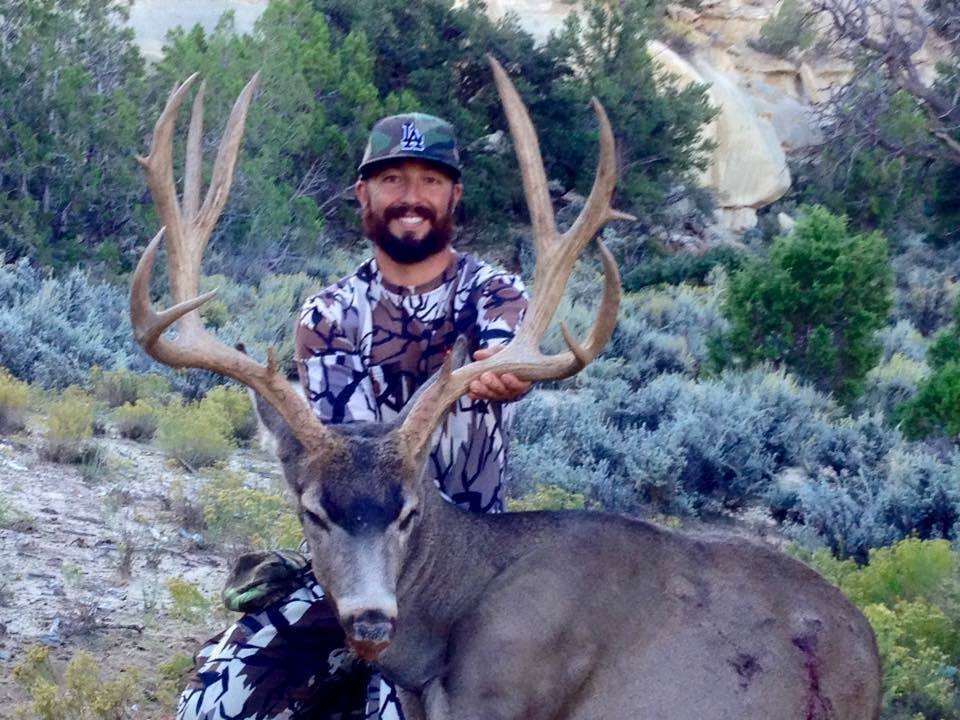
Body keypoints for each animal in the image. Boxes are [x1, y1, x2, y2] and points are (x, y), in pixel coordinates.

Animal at [131, 57, 882, 720]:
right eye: (313, 511)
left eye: (409, 511)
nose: (371, 619)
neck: (438, 646)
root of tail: (872, 656)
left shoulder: (507, 693)